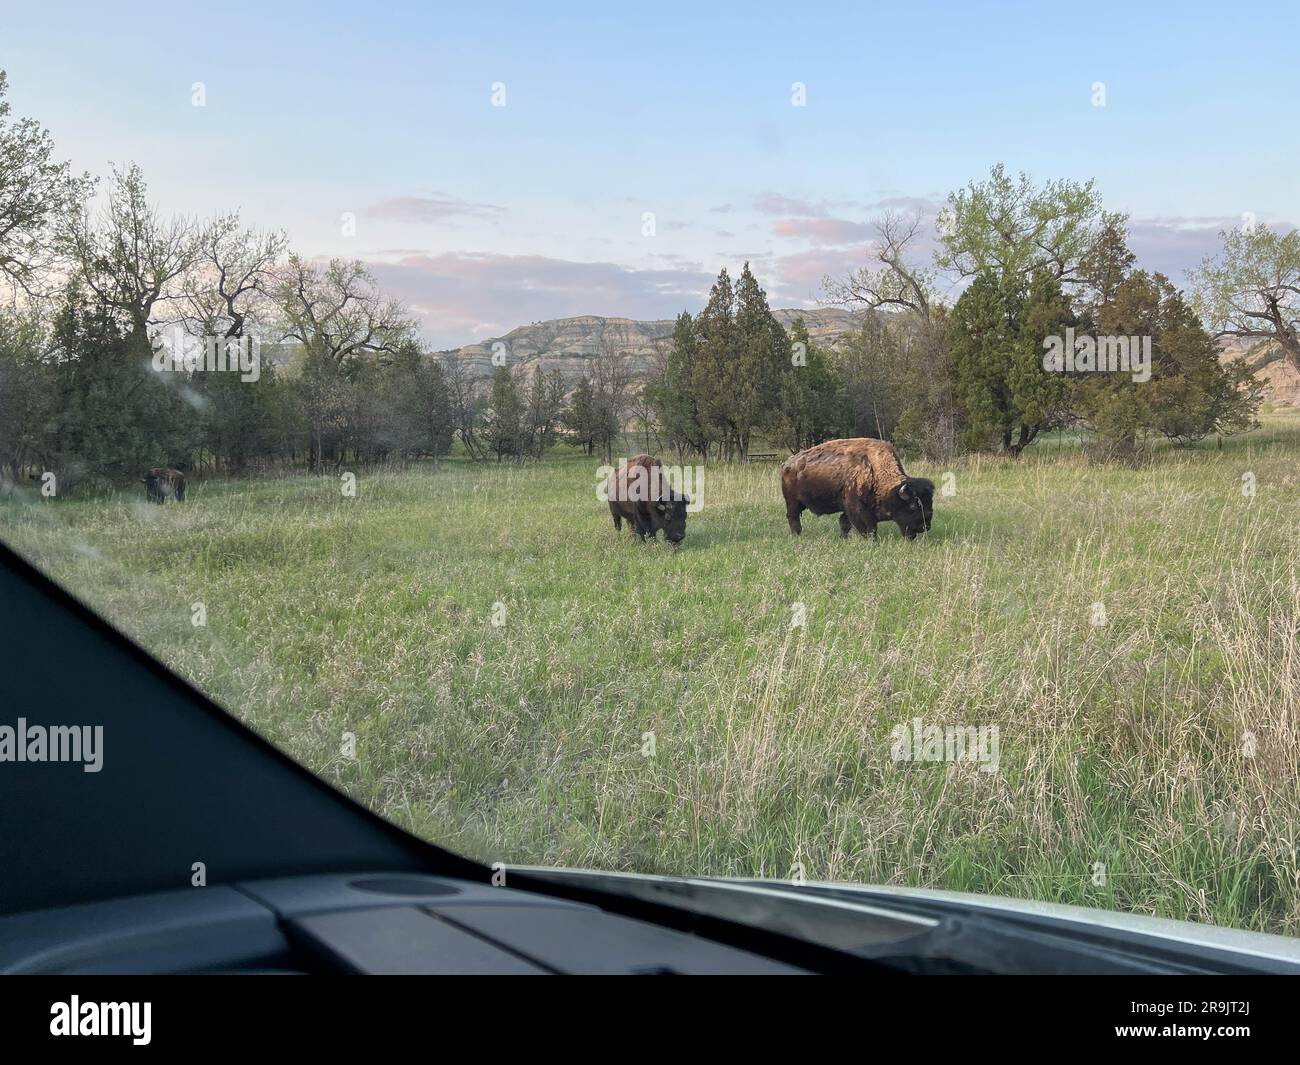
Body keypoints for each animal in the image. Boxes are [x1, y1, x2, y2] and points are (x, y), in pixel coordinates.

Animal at [781, 438, 933, 540]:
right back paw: (797, 536)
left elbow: (844, 523)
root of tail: (787, 464)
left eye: (929, 503)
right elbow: (869, 527)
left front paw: (843, 538)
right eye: (913, 506)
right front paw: (872, 541)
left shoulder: (848, 509)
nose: (925, 527)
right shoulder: (857, 508)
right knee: (793, 517)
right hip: (793, 502)